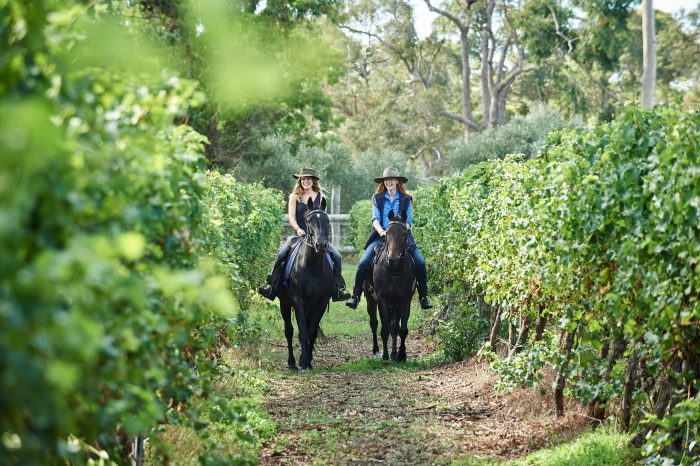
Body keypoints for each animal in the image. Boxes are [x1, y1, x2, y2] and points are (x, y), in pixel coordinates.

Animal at [277, 197, 334, 370]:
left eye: (327, 220)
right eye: (309, 221)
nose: (321, 245)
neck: (312, 266)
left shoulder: (320, 303)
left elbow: (311, 332)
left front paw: (307, 360)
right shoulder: (298, 302)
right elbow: (302, 332)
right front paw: (302, 362)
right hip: (284, 304)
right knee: (288, 331)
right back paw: (292, 363)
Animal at [364, 209, 416, 361]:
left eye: (404, 233)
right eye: (387, 233)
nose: (392, 259)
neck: (394, 271)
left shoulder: (404, 301)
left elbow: (400, 329)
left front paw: (400, 354)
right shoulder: (382, 300)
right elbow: (385, 328)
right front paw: (386, 355)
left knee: (394, 327)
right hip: (370, 300)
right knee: (374, 323)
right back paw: (376, 350)